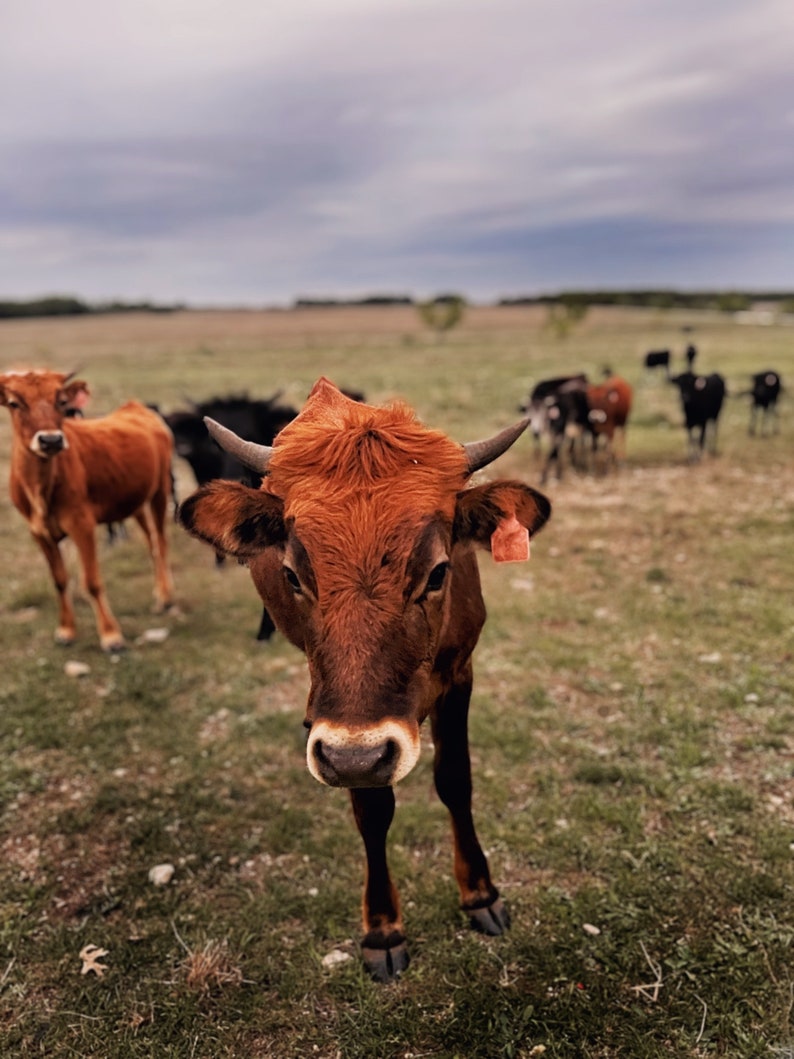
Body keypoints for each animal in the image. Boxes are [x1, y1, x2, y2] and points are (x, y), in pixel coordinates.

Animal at [0, 370, 175, 651]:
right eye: (15, 403)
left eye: (61, 401)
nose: (50, 440)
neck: (41, 488)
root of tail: (134, 406)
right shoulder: (39, 533)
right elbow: (60, 581)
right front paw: (66, 630)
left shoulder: (81, 525)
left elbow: (91, 582)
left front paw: (111, 635)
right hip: (135, 501)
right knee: (151, 543)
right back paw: (159, 593)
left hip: (160, 490)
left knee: (161, 540)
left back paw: (166, 598)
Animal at [179, 378, 551, 981]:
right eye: (292, 574)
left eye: (438, 572)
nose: (353, 756)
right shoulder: (345, 737)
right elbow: (372, 809)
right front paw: (383, 929)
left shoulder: (460, 673)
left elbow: (456, 779)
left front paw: (481, 894)